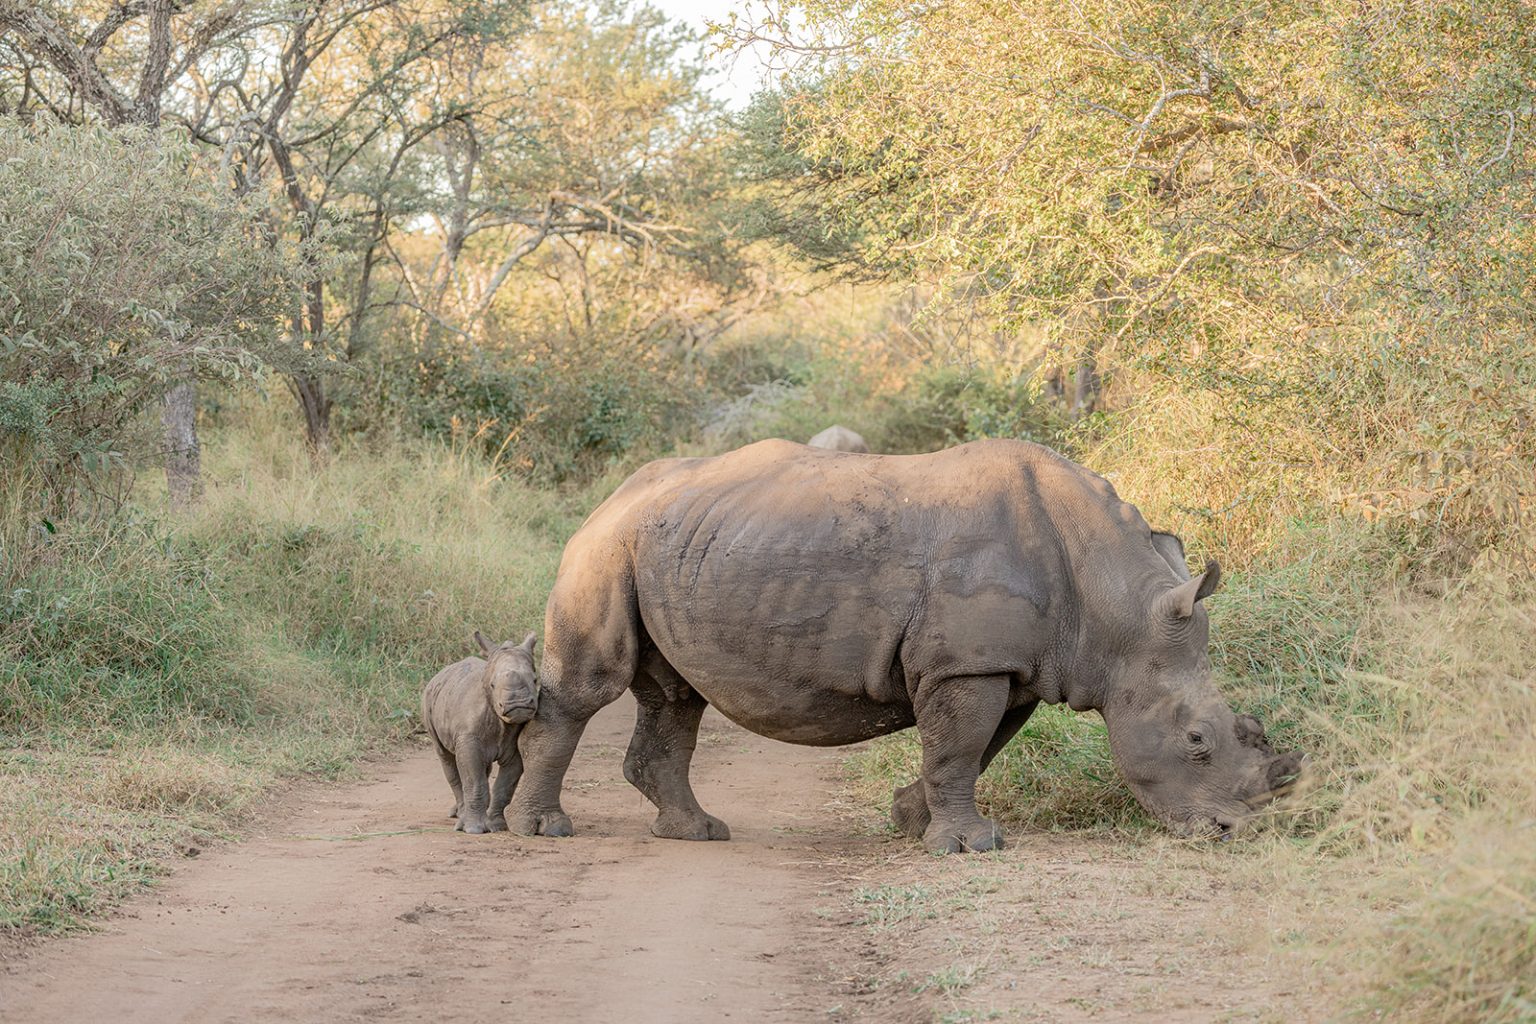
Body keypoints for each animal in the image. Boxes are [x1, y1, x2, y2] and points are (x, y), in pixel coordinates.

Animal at [421, 632, 539, 834]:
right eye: (492, 685)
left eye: (534, 680)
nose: (518, 705)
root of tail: (441, 672)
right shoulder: (468, 740)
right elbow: (474, 782)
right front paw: (474, 829)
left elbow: (504, 786)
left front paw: (497, 825)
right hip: (428, 699)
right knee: (446, 758)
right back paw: (459, 816)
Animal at [507, 439, 1304, 852]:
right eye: (1197, 740)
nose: (1235, 831)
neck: (1113, 610)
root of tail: (609, 497)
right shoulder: (967, 665)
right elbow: (960, 748)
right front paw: (968, 847)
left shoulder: (1011, 666)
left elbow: (974, 750)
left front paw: (911, 821)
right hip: (605, 548)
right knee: (592, 688)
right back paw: (546, 830)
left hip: (674, 545)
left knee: (675, 696)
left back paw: (696, 833)